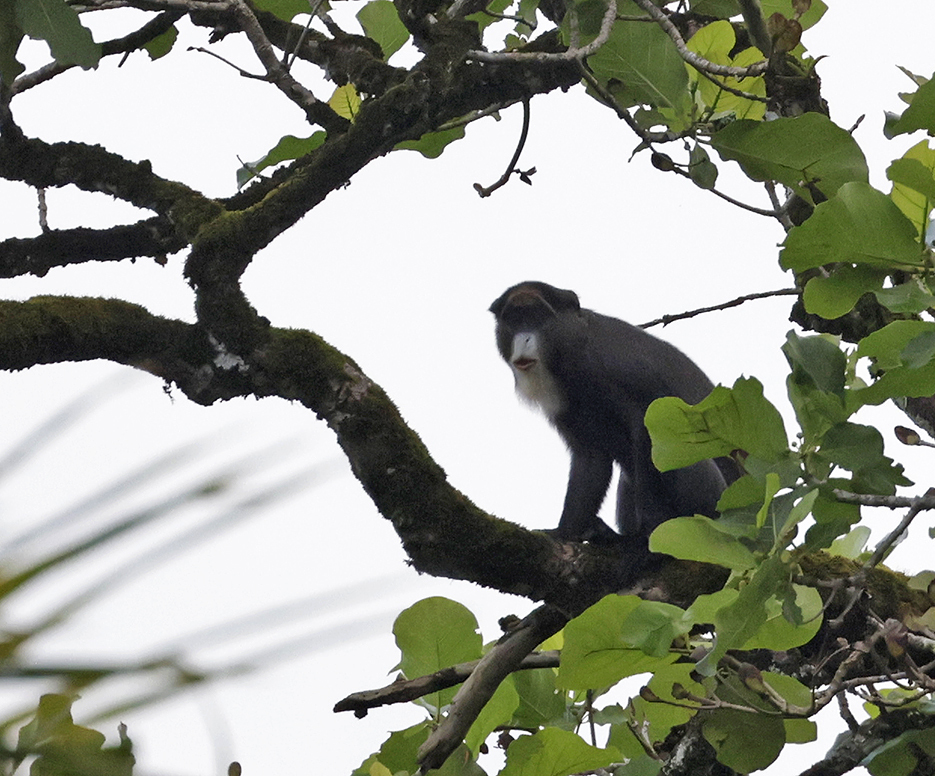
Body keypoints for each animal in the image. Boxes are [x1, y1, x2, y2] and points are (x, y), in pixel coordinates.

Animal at [490, 281, 740, 548]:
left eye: (537, 317)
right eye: (515, 320)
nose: (524, 339)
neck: (572, 350)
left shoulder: (617, 369)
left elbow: (648, 426)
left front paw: (646, 537)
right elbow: (591, 458)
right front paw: (564, 532)